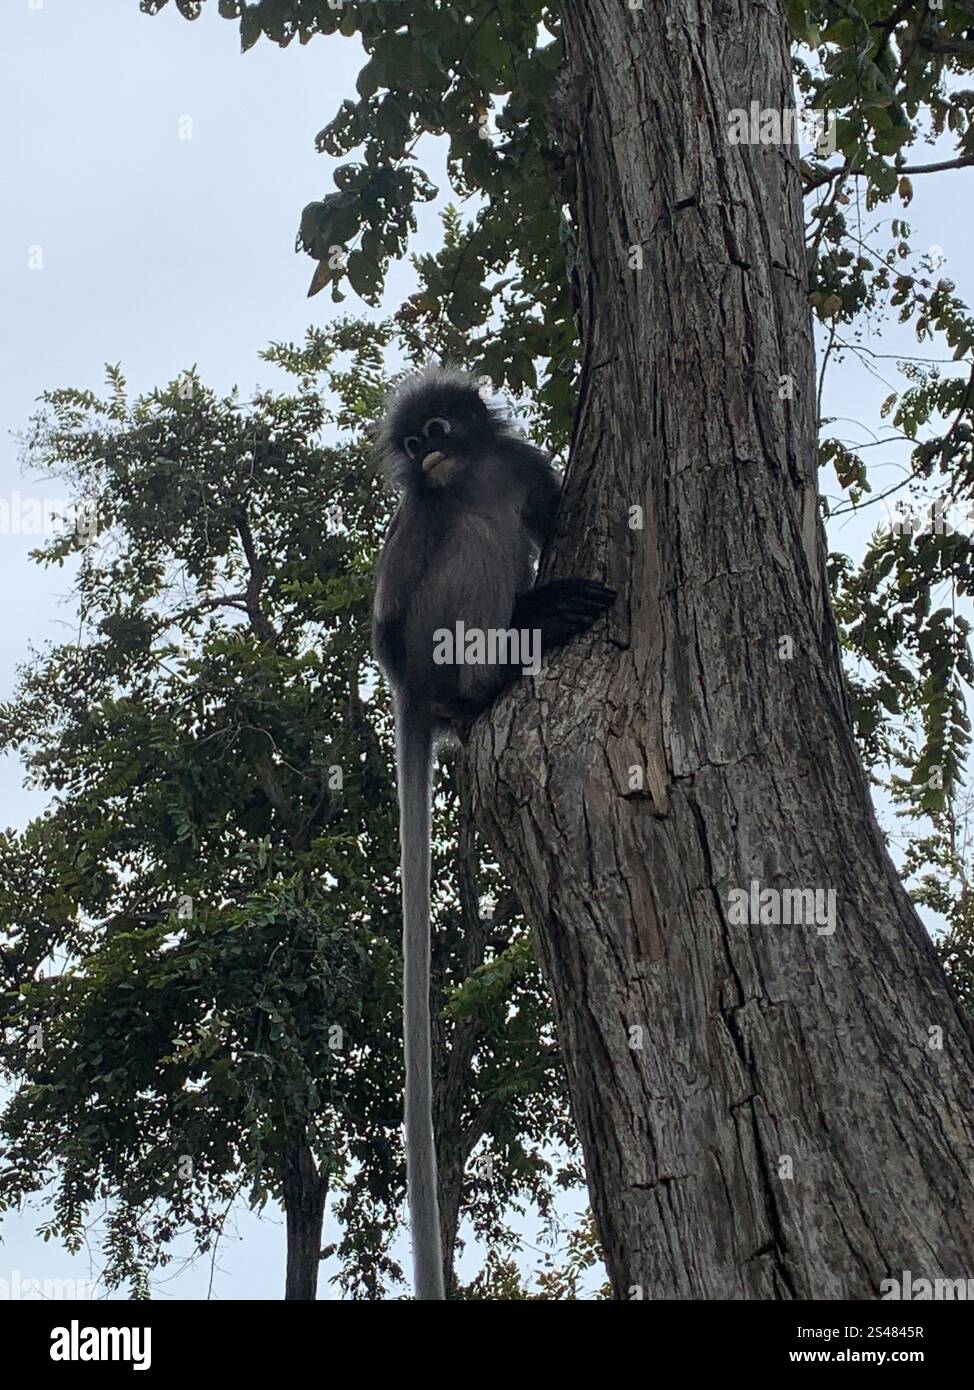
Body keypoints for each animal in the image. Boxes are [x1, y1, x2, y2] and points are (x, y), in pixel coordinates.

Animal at [371, 366, 615, 1300]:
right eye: (410, 444)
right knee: (467, 551)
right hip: (434, 642)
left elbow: (537, 507)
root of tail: (420, 696)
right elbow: (381, 617)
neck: (467, 478)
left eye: (436, 430)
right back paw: (511, 654)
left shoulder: (518, 466)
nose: (425, 455)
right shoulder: (420, 520)